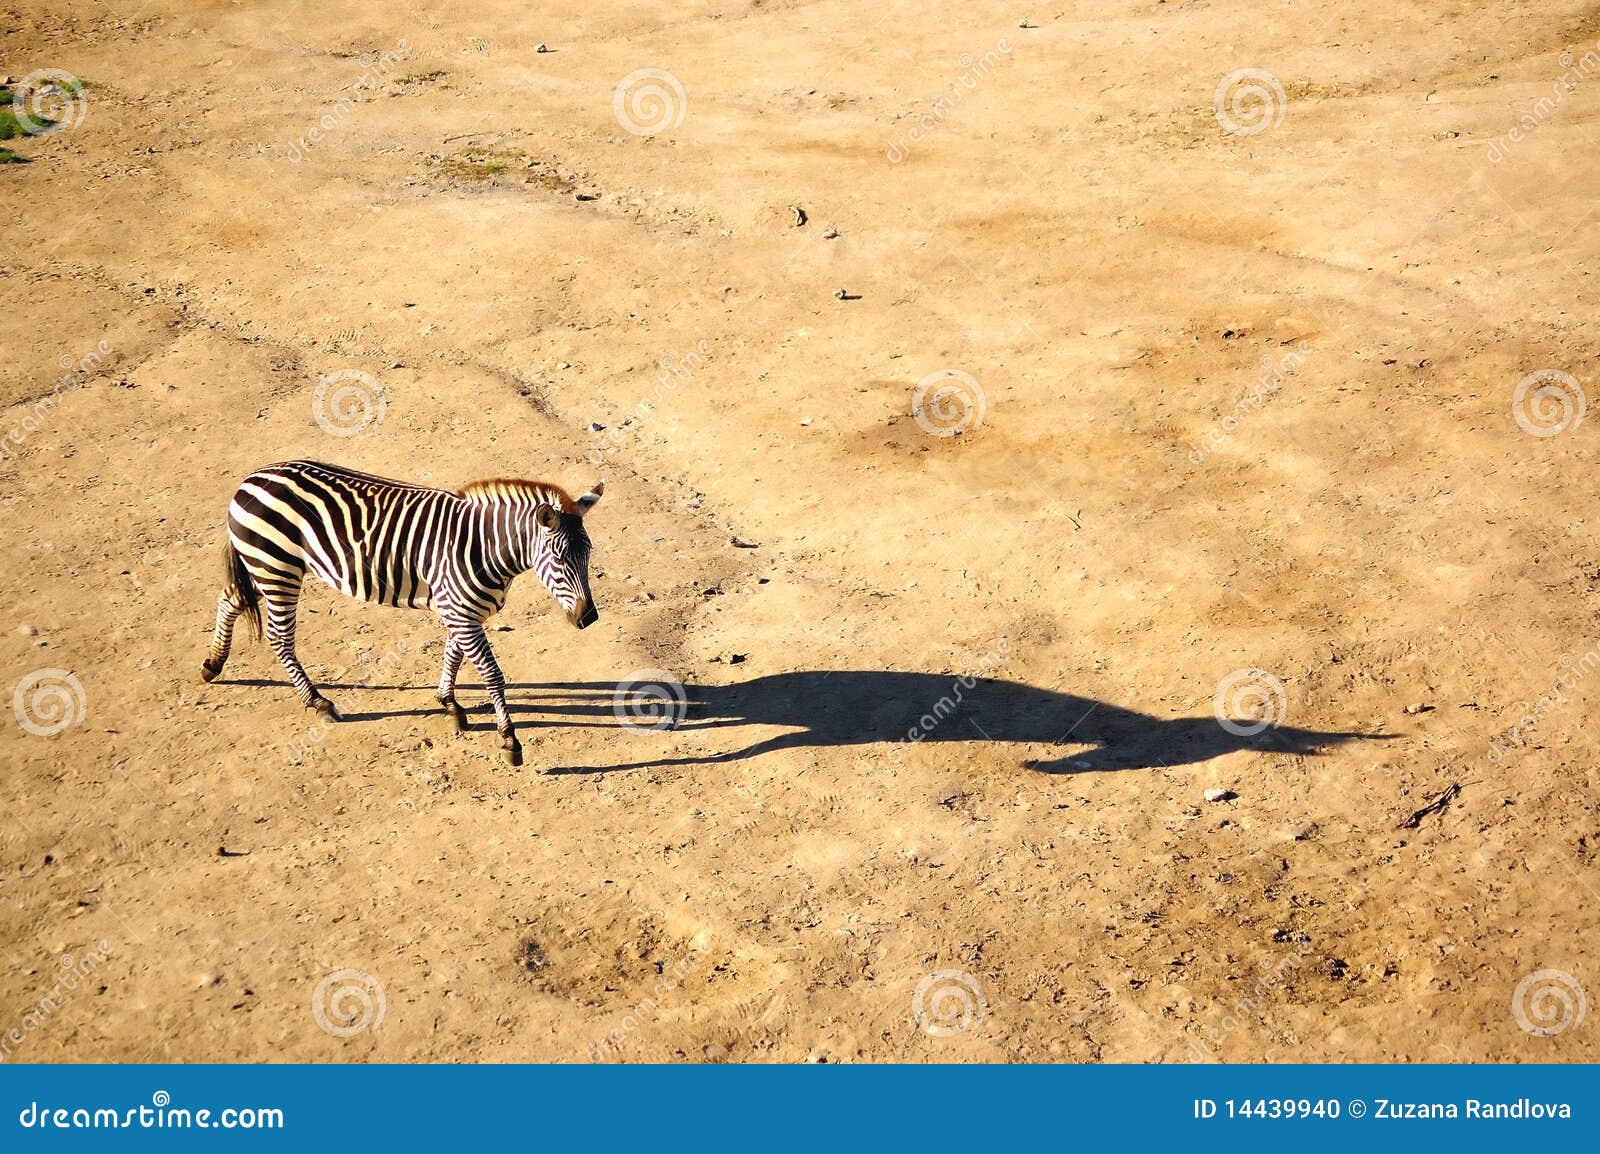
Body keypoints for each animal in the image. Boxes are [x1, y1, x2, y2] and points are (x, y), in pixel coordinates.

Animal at [201, 460, 603, 766]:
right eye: (559, 559)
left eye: (588, 555)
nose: (590, 619)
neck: (485, 548)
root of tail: (255, 476)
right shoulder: (461, 613)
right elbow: (492, 674)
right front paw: (509, 740)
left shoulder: (460, 611)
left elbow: (453, 655)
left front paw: (449, 704)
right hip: (276, 568)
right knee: (279, 637)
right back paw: (317, 702)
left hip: (263, 566)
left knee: (229, 599)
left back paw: (213, 664)